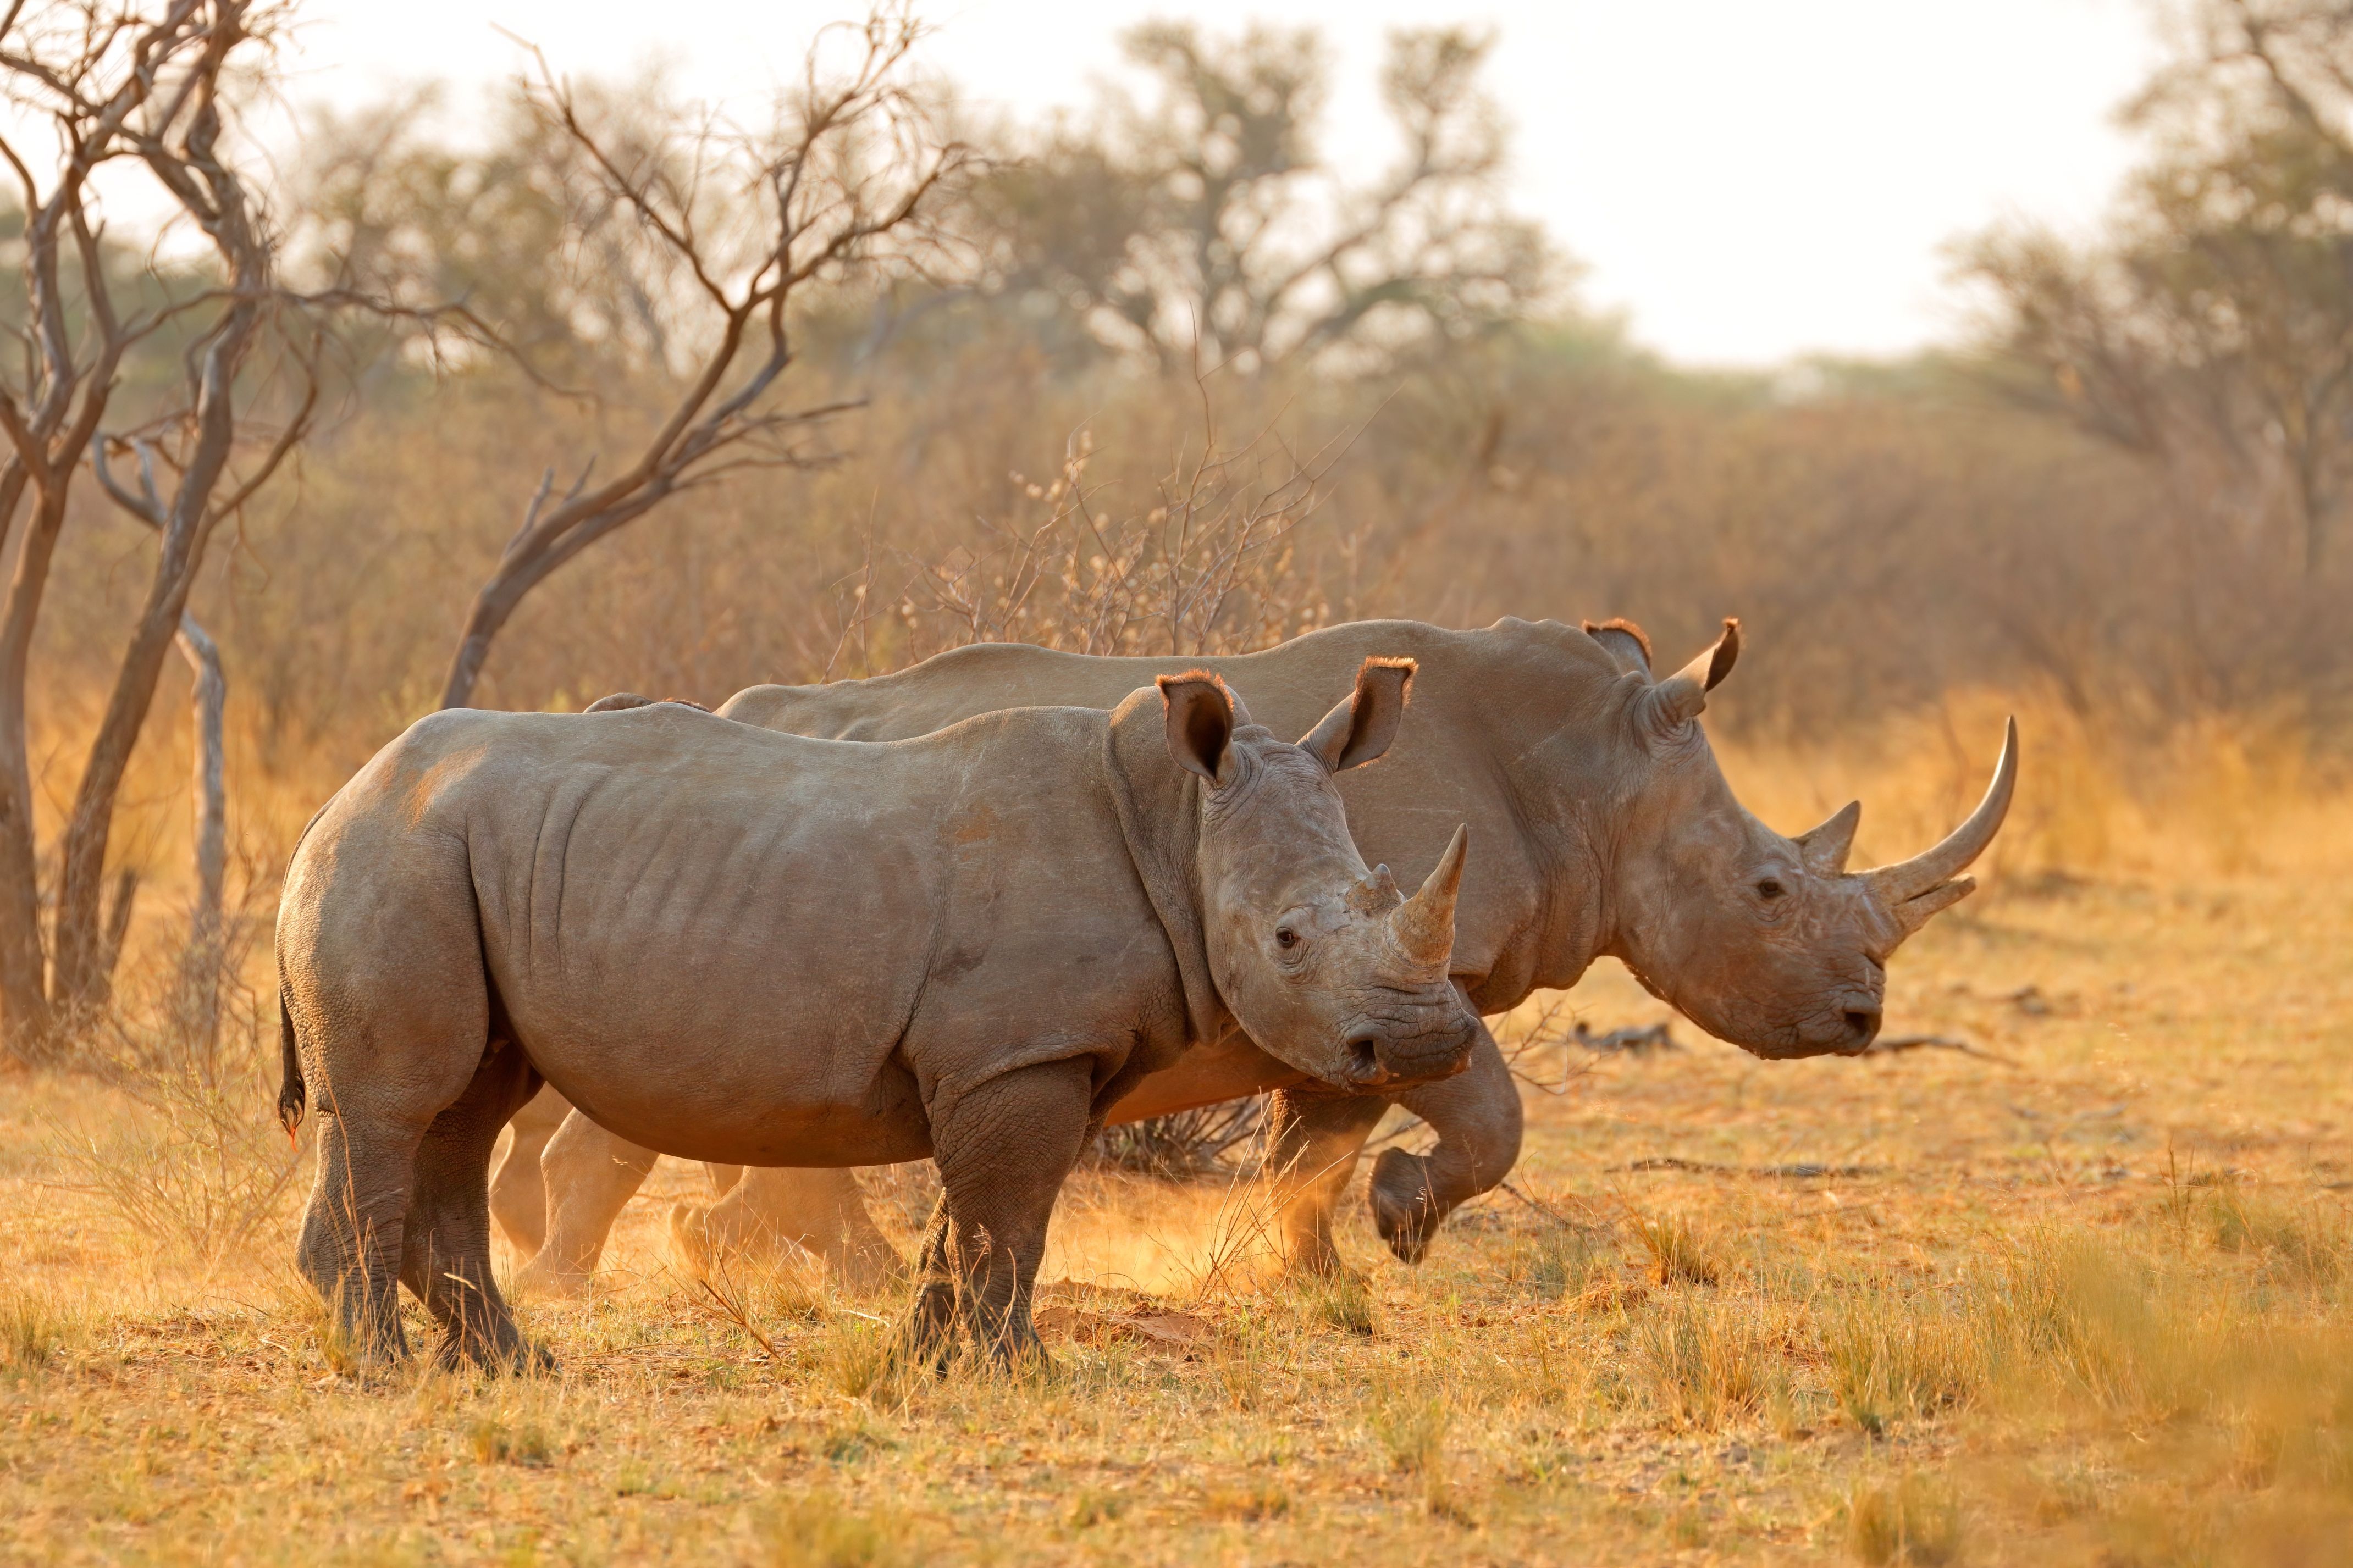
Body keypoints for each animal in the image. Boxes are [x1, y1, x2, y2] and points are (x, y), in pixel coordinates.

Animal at [274, 661, 1478, 1369]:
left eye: (1380, 885)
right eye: (1286, 939)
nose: (1430, 1041)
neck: (1177, 823)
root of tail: (340, 792)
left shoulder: (1028, 1055)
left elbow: (975, 1221)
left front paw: (932, 1366)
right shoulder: (1018, 1052)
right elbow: (1008, 1219)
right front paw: (1019, 1374)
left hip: (444, 858)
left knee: (465, 1108)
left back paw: (510, 1365)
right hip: (396, 858)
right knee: (395, 1110)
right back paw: (386, 1369)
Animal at [499, 615, 2016, 1292]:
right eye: (1768, 888)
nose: (1863, 1014)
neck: (1590, 771)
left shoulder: (1364, 986)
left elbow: (1315, 1140)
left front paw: (1306, 1266)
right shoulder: (1419, 975)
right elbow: (1478, 1116)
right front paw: (1395, 1227)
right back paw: (589, 1279)